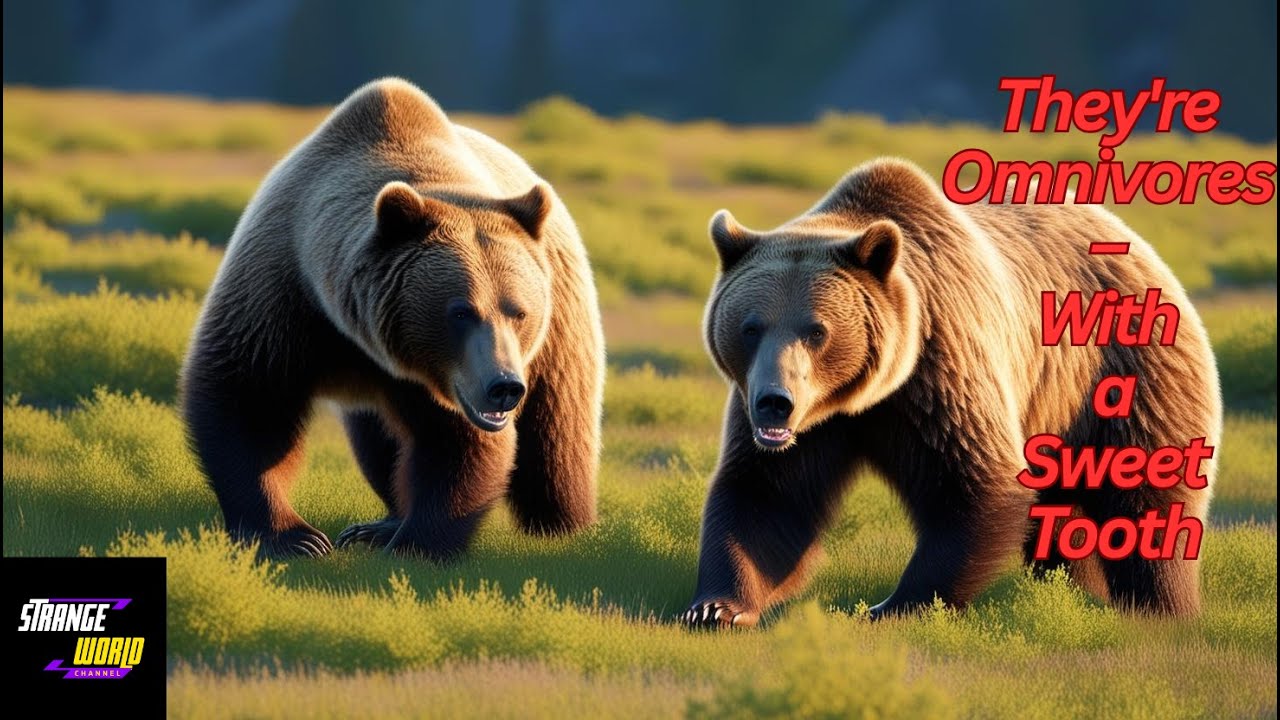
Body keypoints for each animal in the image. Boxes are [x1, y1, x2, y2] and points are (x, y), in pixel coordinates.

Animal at [180, 78, 604, 560]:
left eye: (519, 311)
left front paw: (416, 544)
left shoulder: (455, 380)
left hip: (561, 328)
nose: (504, 387)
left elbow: (457, 444)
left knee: (556, 438)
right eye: (461, 311)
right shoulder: (282, 297)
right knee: (380, 441)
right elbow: (251, 401)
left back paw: (563, 530)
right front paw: (295, 537)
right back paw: (379, 524)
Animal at [683, 157, 1219, 628]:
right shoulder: (809, 424)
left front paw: (894, 606)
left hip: (1123, 375)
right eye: (751, 327)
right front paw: (716, 608)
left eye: (817, 331)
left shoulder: (940, 369)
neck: (864, 397)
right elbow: (768, 495)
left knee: (1146, 503)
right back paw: (1070, 589)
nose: (776, 402)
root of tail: (1138, 244)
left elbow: (974, 485)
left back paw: (1160, 609)